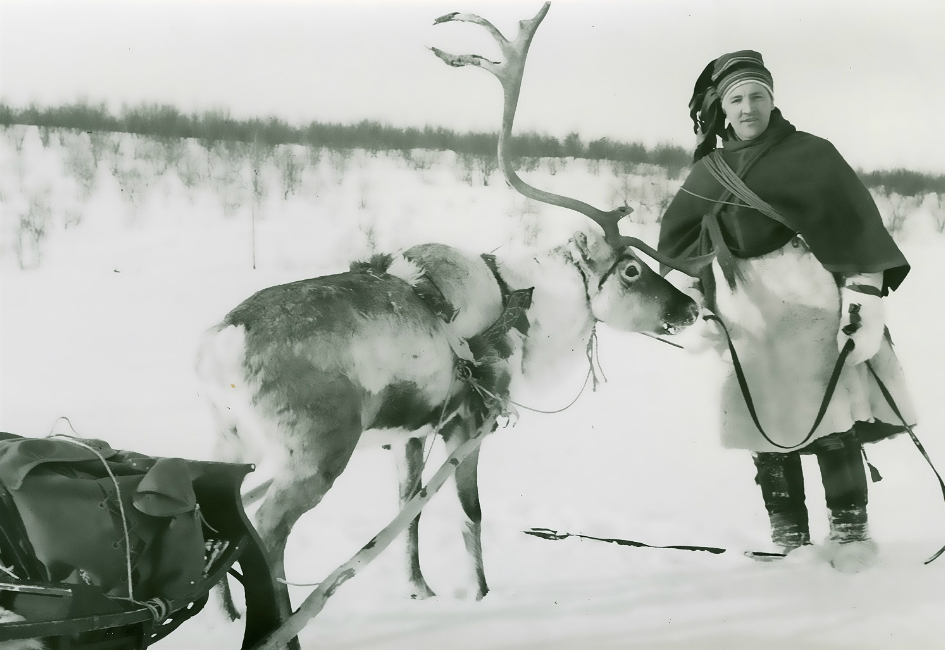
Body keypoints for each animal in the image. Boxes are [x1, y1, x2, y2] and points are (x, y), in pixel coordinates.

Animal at [196, 1, 698, 627]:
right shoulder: (470, 424)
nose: (691, 306)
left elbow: (407, 511)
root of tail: (222, 343)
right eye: (630, 269)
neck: (524, 306)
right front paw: (479, 596)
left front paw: (418, 589)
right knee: (268, 531)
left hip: (229, 441)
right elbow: (469, 514)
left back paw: (224, 615)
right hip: (314, 453)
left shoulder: (410, 435)